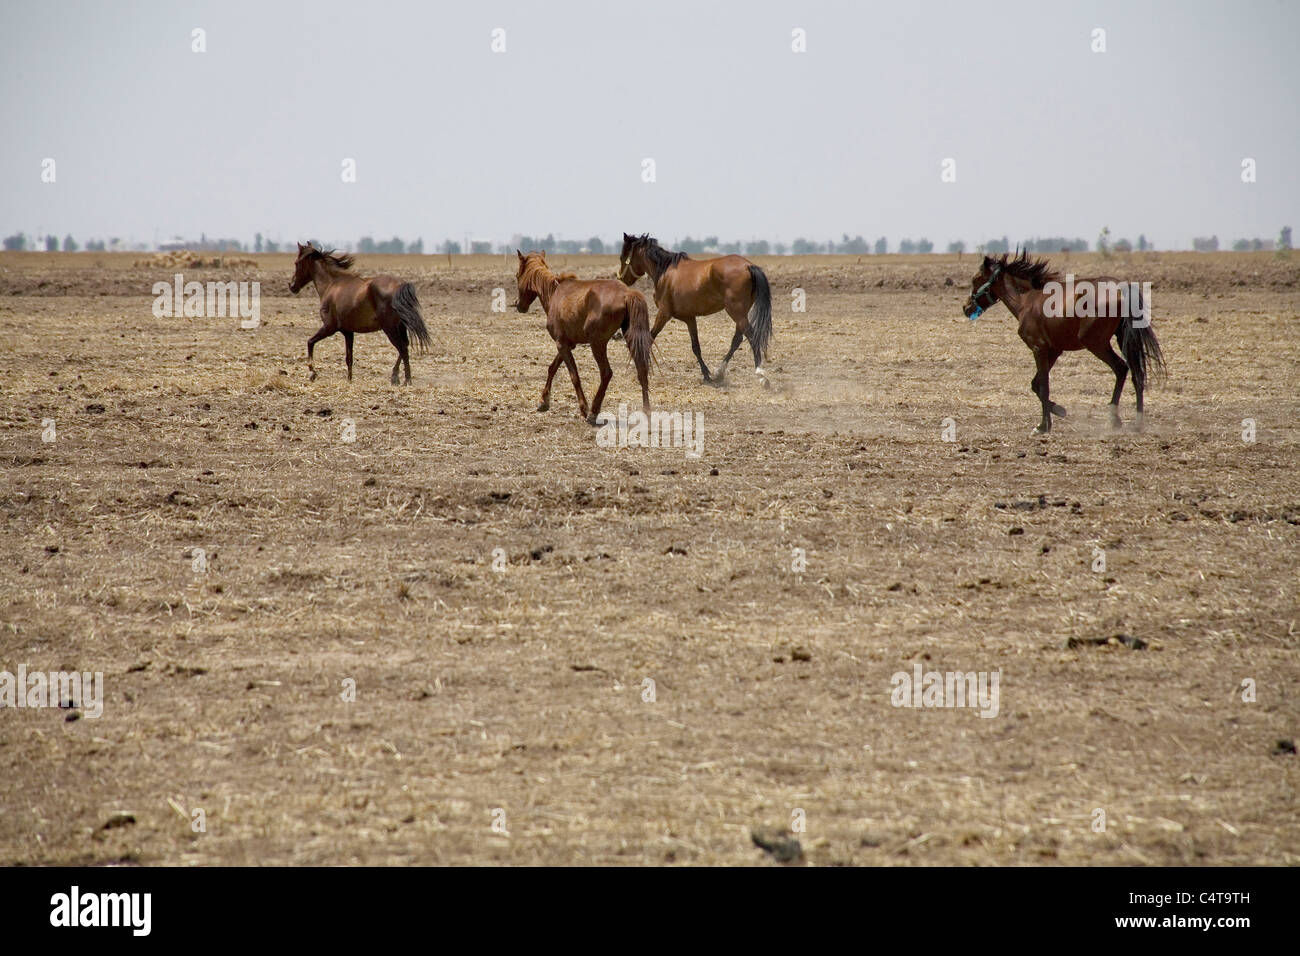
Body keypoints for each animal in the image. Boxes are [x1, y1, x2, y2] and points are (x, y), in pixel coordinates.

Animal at [289, 242, 431, 384]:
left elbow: (310, 342)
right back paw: (397, 377)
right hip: (400, 327)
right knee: (405, 347)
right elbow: (349, 358)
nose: (292, 286)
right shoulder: (348, 332)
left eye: (296, 263)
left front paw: (312, 373)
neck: (331, 285)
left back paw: (405, 380)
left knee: (402, 349)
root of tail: (400, 285)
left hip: (390, 328)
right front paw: (349, 380)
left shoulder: (329, 327)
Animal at [515, 251, 653, 424]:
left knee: (606, 373)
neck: (554, 293)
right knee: (642, 369)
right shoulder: (567, 344)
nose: (518, 305)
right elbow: (552, 368)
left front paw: (583, 408)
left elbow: (574, 375)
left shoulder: (561, 344)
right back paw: (646, 411)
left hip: (597, 344)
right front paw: (543, 401)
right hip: (630, 339)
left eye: (517, 276)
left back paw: (593, 412)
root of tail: (627, 293)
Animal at [616, 233, 772, 386]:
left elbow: (649, 338)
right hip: (741, 314)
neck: (665, 273)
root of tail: (748, 266)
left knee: (752, 336)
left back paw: (761, 375)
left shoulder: (664, 314)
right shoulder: (689, 318)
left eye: (623, 256)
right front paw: (706, 375)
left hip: (736, 312)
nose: (622, 279)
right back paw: (719, 373)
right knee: (737, 340)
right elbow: (696, 347)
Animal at [962, 250, 1166, 434]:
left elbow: (1043, 386)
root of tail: (1120, 288)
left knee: (1121, 368)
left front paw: (1043, 426)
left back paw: (1115, 420)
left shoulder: (1038, 348)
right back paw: (1137, 423)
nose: (966, 307)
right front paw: (1058, 410)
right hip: (1123, 339)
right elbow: (1036, 385)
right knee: (1137, 374)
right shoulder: (1053, 350)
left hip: (1097, 344)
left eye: (975, 279)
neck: (1027, 300)